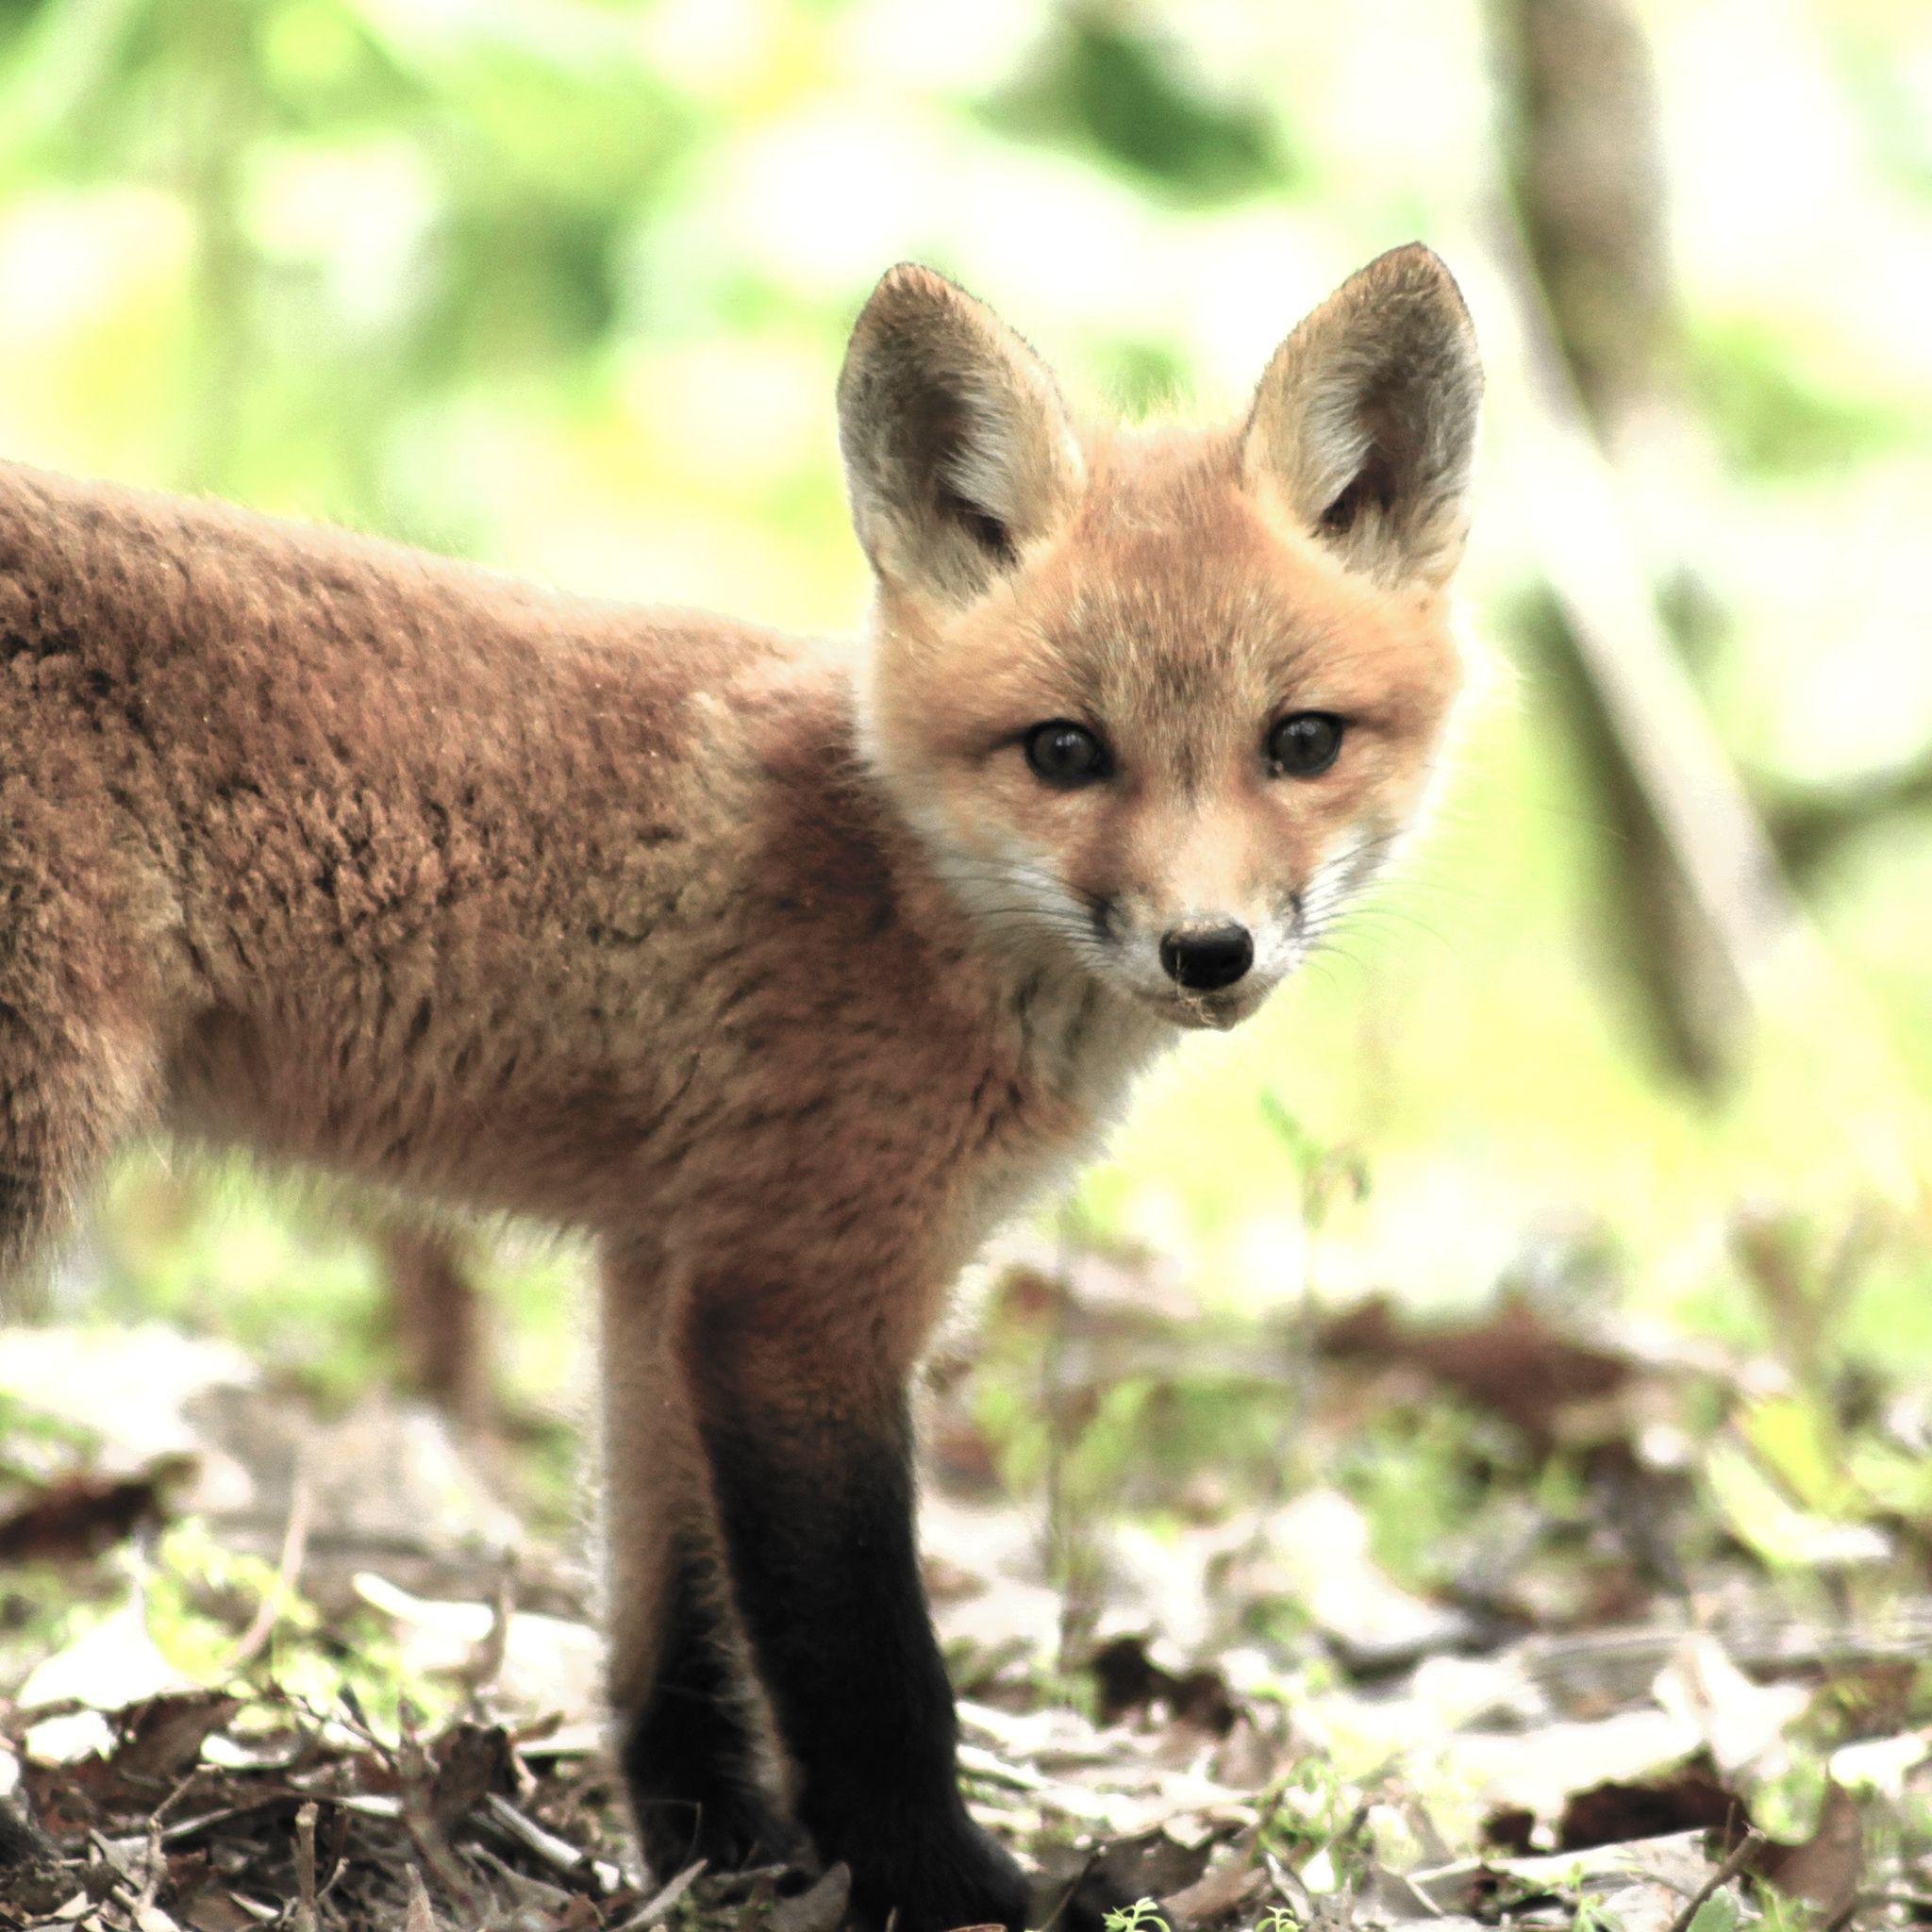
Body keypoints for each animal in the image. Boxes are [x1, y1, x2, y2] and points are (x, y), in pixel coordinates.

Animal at [0, 244, 1480, 1930]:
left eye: (1300, 742)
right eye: (1065, 752)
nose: (1208, 950)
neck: (901, 894)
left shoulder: (668, 1267)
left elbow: (677, 1642)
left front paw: (717, 1860)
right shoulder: (800, 1299)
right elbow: (871, 1676)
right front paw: (955, 1888)